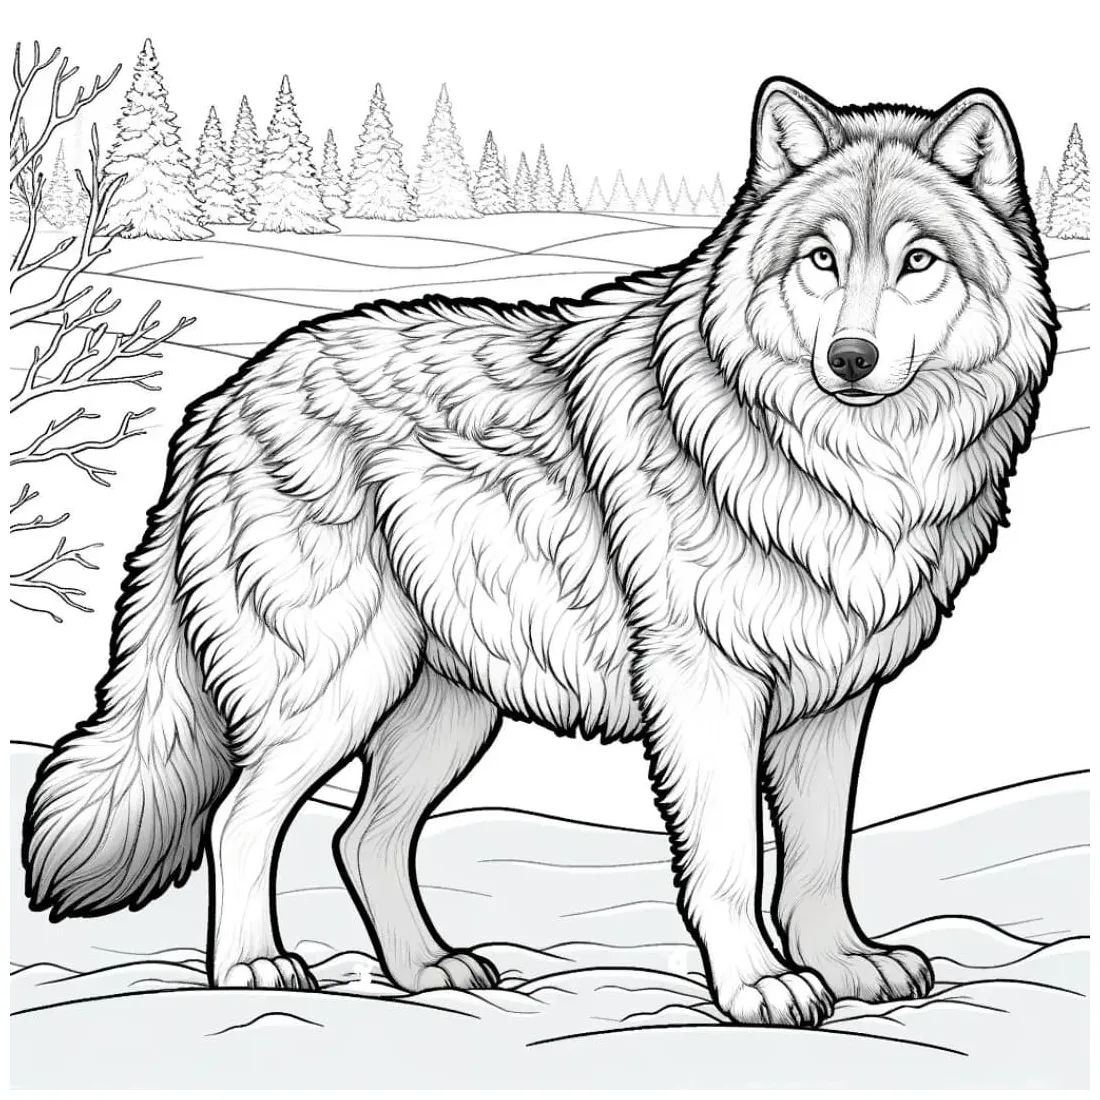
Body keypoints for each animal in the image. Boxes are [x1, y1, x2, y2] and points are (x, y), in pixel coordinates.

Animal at [24, 78, 1056, 1027]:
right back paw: (252, 968)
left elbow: (818, 857)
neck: (847, 464)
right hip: (336, 686)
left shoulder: (833, 698)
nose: (849, 357)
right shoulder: (705, 687)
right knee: (240, 819)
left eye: (918, 261)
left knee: (362, 837)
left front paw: (847, 966)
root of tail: (226, 395)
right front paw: (758, 985)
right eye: (821, 259)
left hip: (444, 709)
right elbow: (729, 856)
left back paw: (428, 971)